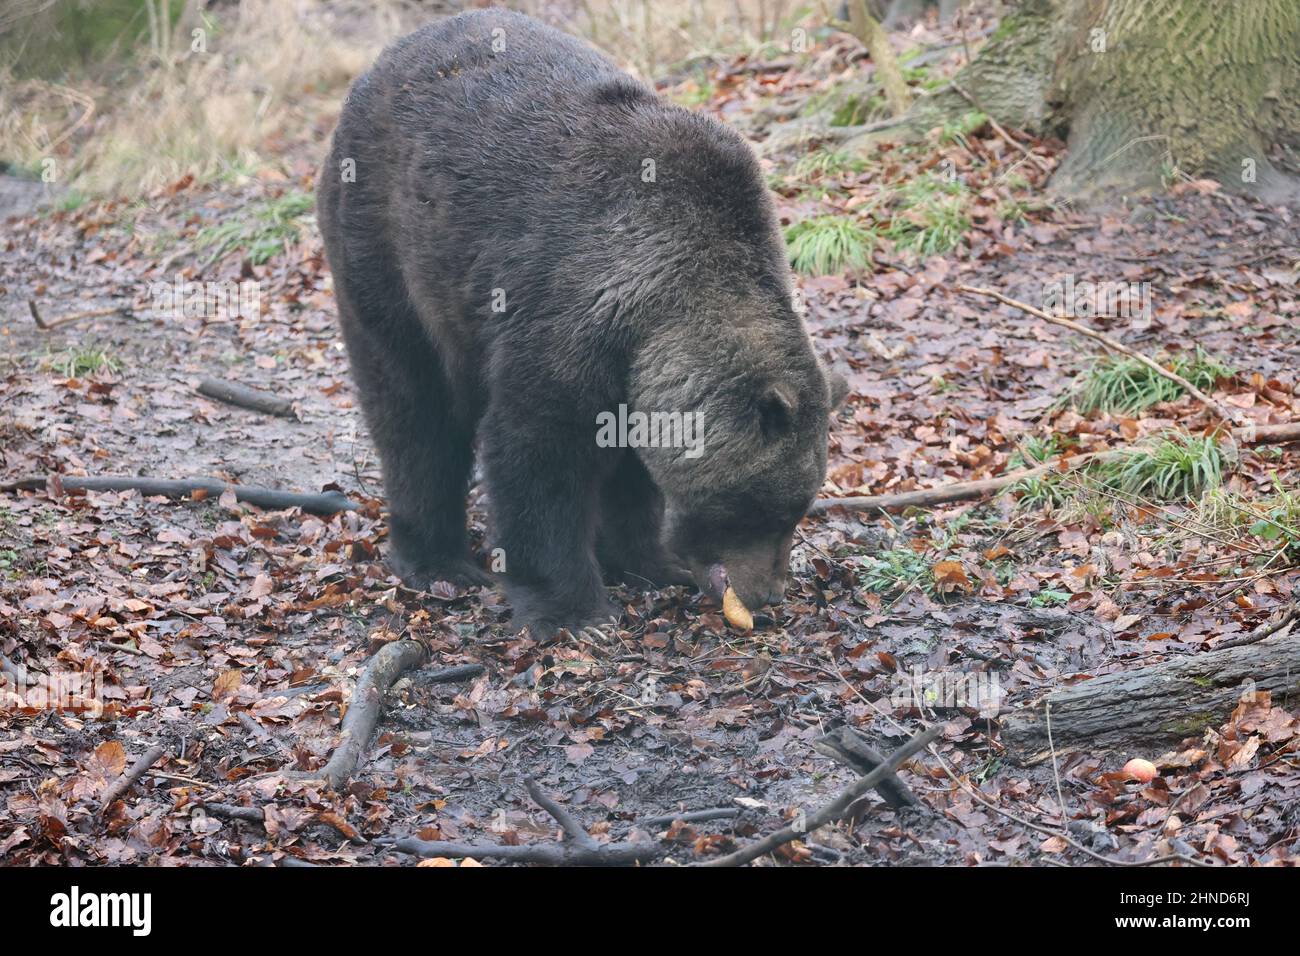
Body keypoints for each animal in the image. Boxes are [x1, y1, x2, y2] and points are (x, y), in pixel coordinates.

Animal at [317, 9, 844, 637]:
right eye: (761, 508)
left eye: (797, 509)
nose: (768, 596)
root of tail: (385, 60)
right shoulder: (569, 309)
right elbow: (537, 455)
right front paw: (576, 612)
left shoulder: (635, 370)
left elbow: (630, 474)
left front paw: (649, 561)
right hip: (388, 251)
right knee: (413, 411)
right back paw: (437, 562)